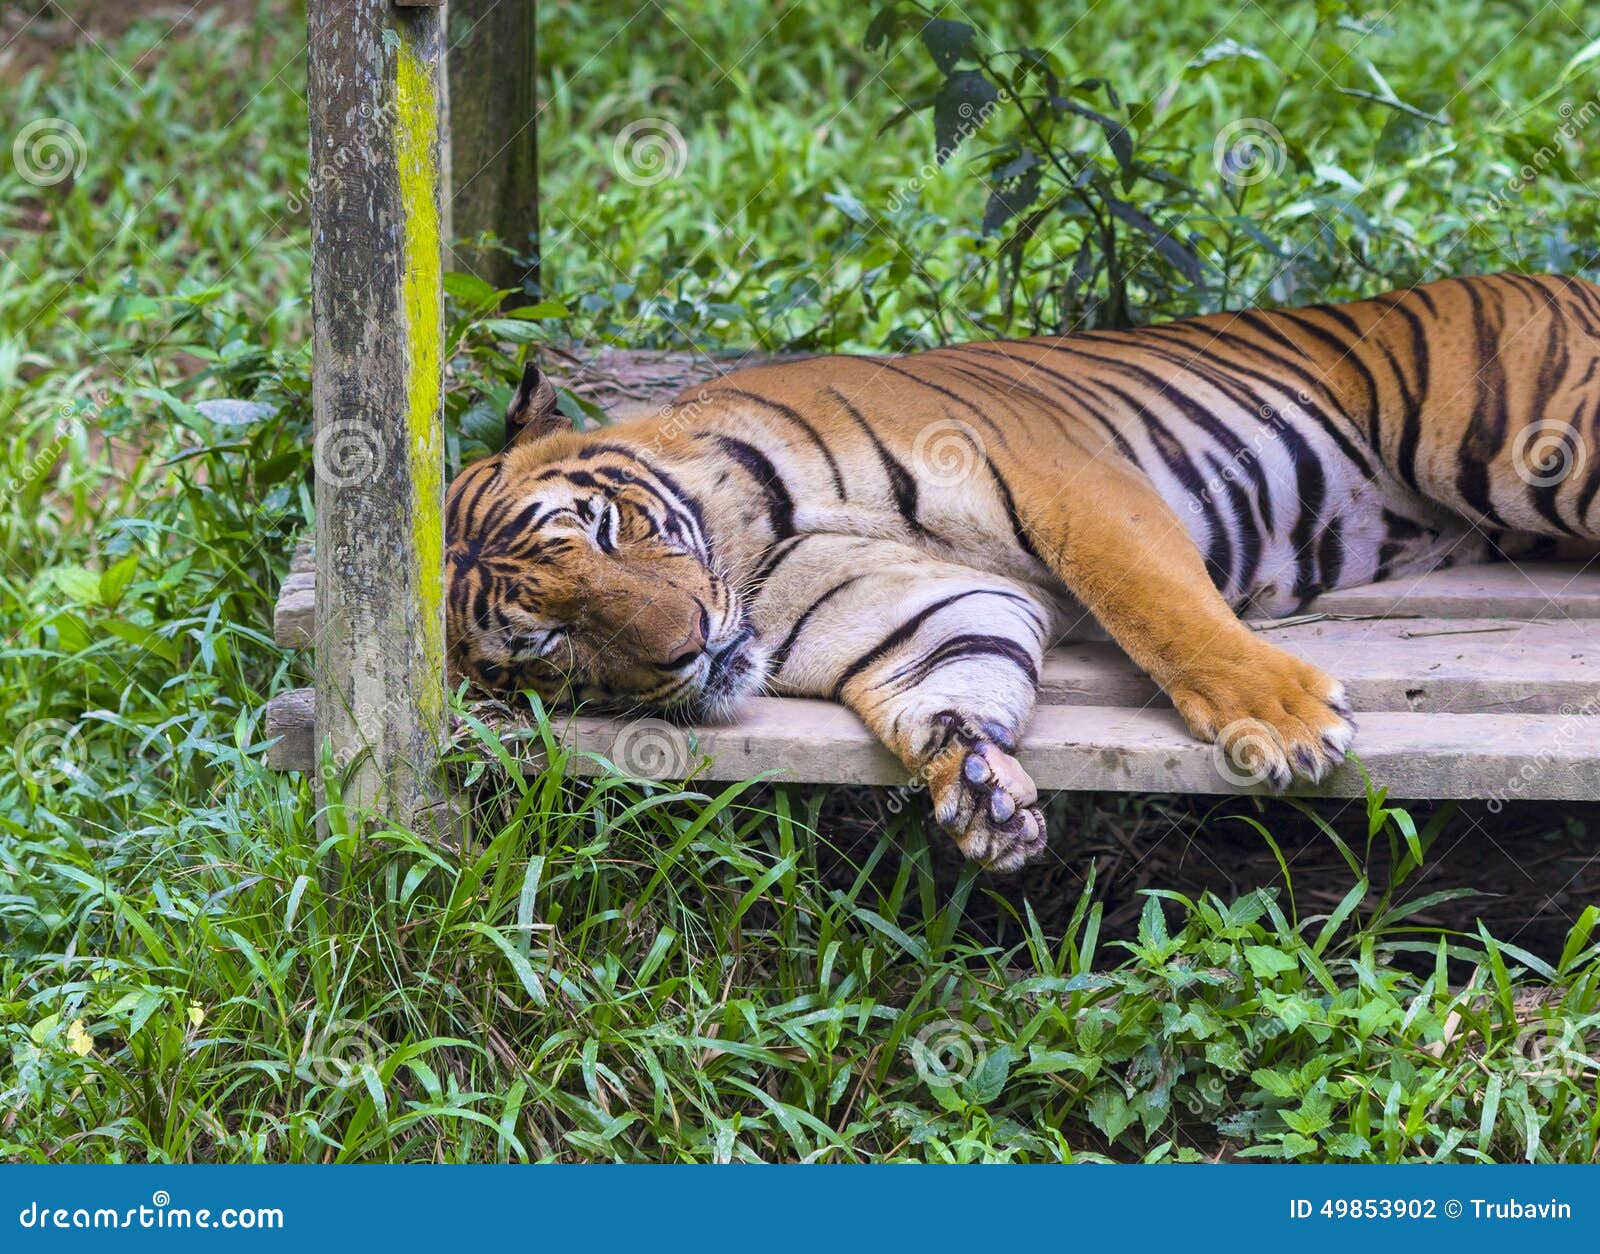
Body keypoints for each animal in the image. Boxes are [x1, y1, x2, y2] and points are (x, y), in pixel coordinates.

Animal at [445, 272, 1600, 871]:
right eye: (549, 642)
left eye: (603, 530)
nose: (687, 647)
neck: (753, 538)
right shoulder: (912, 605)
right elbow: (951, 674)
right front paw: (978, 795)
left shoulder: (1068, 478)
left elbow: (1159, 606)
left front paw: (1279, 718)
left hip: (1530, 446)